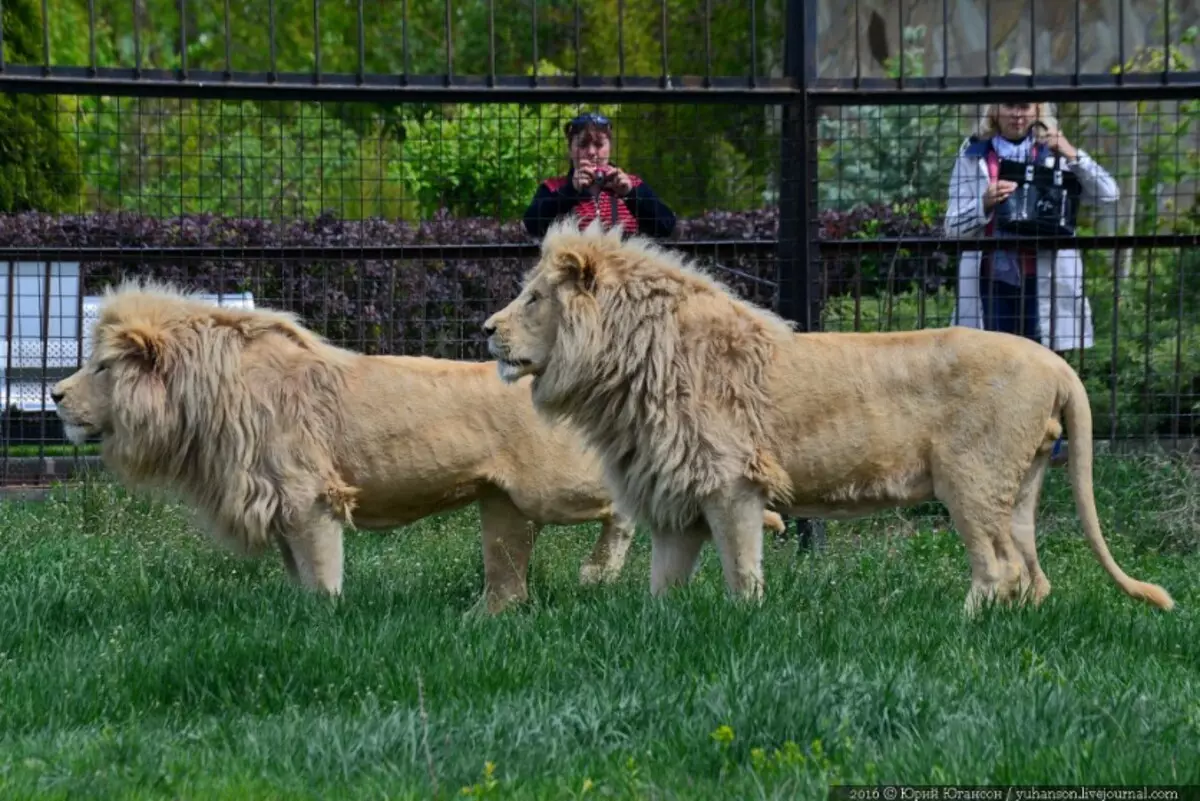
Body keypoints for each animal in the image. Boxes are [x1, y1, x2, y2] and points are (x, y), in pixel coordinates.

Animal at [49, 278, 787, 609]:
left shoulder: (310, 497)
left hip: (551, 488)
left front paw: (325, 619)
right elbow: (296, 575)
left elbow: (321, 574)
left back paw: (602, 571)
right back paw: (488, 614)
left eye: (102, 367)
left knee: (625, 506)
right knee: (509, 578)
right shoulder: (277, 502)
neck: (202, 399)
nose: (55, 394)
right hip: (503, 507)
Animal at [482, 219, 1176, 613]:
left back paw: (956, 626)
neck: (629, 363)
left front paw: (743, 624)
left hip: (972, 481)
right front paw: (662, 629)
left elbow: (742, 573)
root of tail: (1058, 364)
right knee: (1033, 574)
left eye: (534, 298)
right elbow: (663, 586)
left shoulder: (732, 483)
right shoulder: (677, 496)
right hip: (1021, 486)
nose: (486, 330)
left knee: (1000, 568)